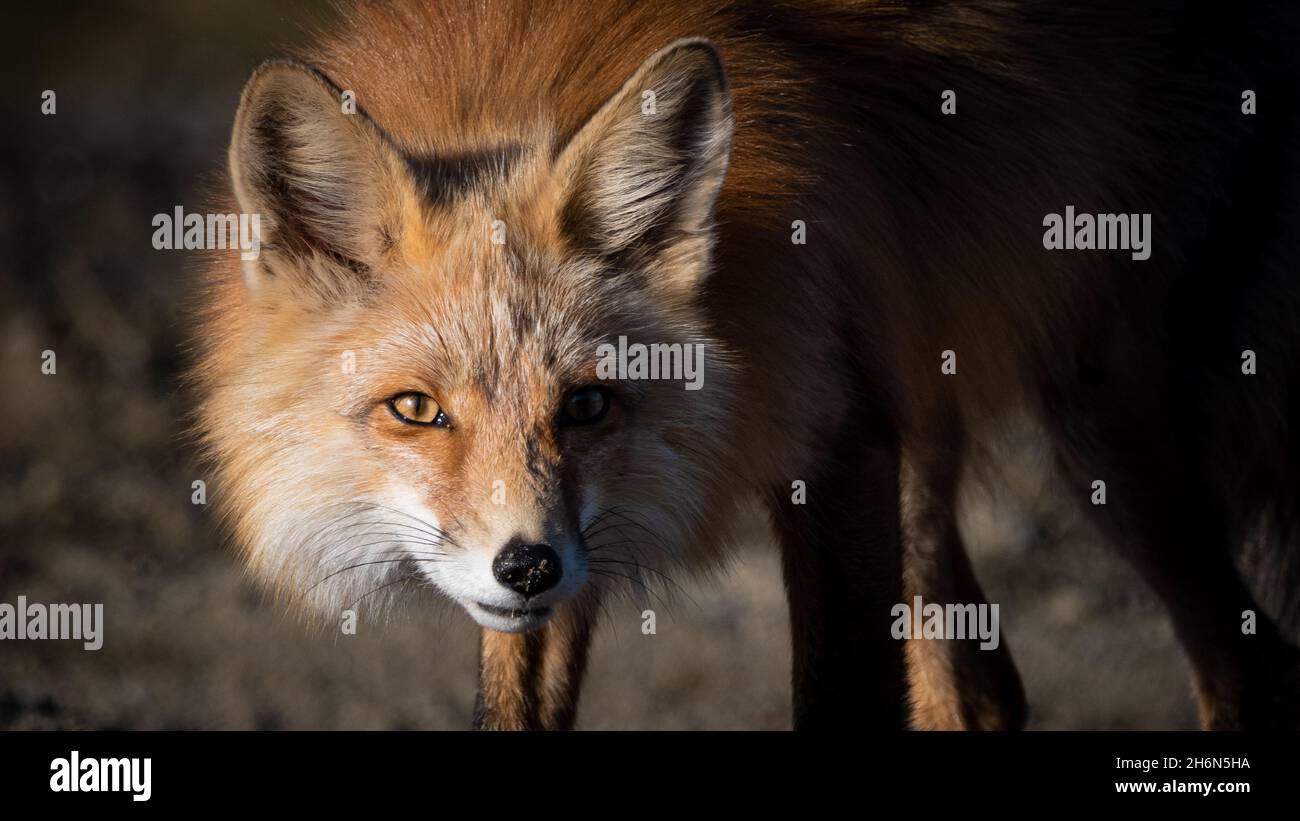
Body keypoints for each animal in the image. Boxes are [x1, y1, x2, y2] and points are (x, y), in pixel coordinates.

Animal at [190, 0, 1300, 730]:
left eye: (587, 404)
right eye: (417, 408)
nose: (529, 563)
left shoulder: (838, 434)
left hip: (1102, 433)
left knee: (1247, 669)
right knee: (981, 690)